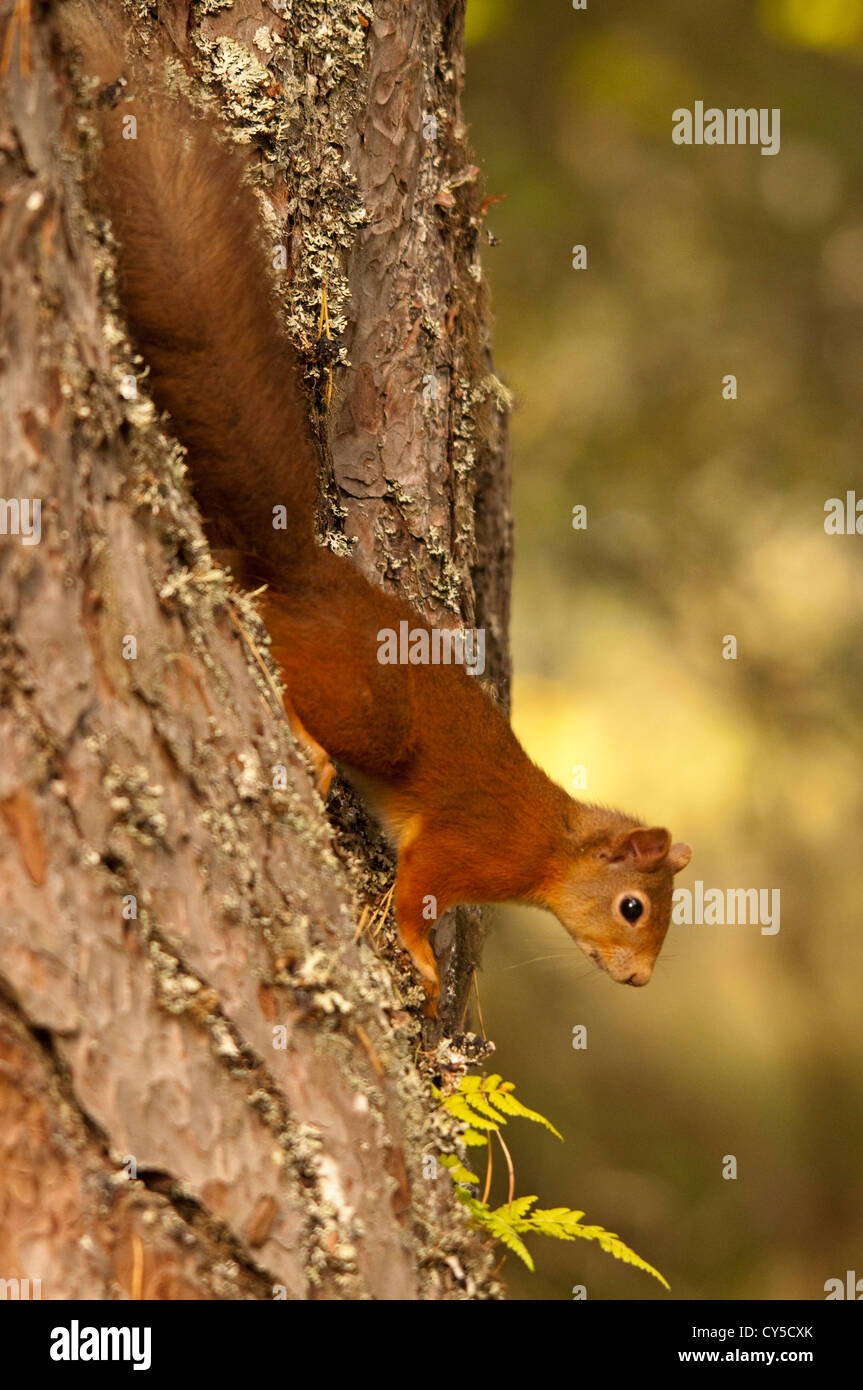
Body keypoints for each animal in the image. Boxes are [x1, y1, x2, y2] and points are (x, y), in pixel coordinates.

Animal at [59, 5, 692, 1016]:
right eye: (633, 907)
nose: (635, 981)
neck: (548, 846)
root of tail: (303, 577)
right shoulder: (469, 847)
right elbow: (416, 891)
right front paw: (425, 962)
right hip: (369, 709)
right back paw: (311, 748)